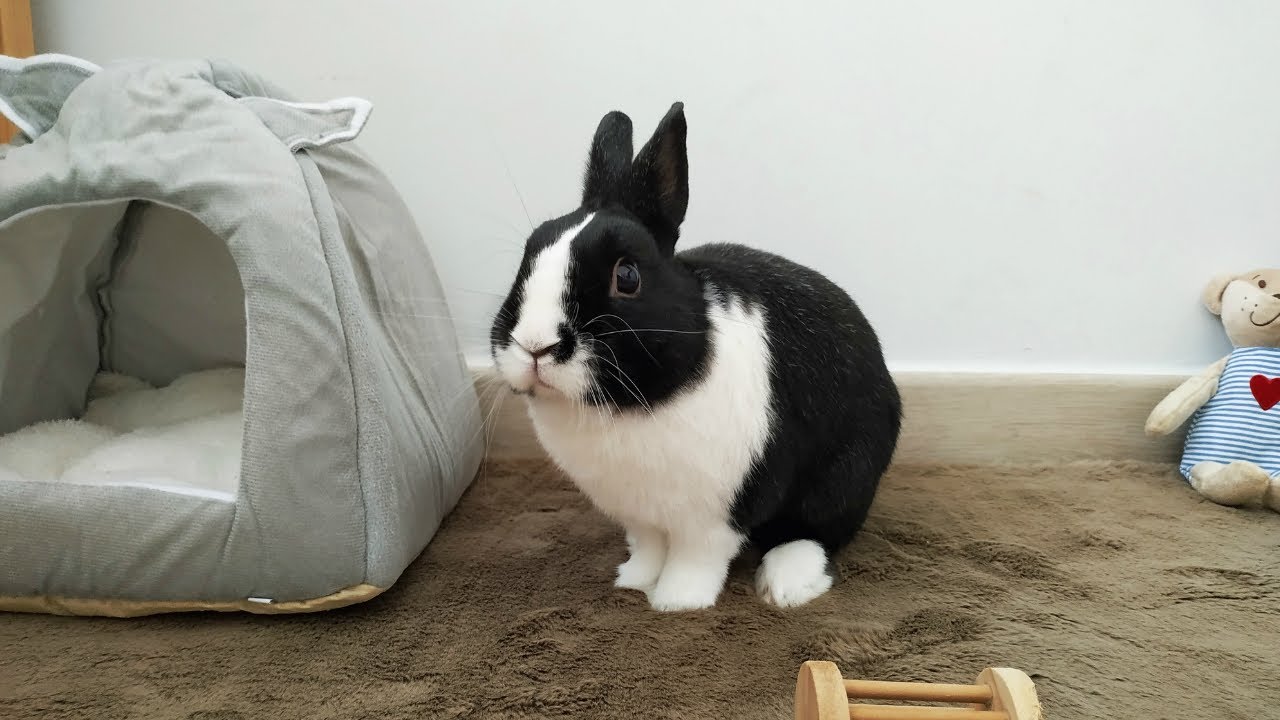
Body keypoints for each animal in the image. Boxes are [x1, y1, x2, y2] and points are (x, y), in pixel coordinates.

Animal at [489, 102, 902, 612]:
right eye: (527, 257)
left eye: (627, 276)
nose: (534, 345)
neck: (635, 401)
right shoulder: (639, 513)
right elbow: (648, 547)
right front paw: (634, 581)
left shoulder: (717, 514)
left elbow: (695, 558)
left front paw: (676, 602)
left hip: (843, 477)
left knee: (816, 534)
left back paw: (785, 585)